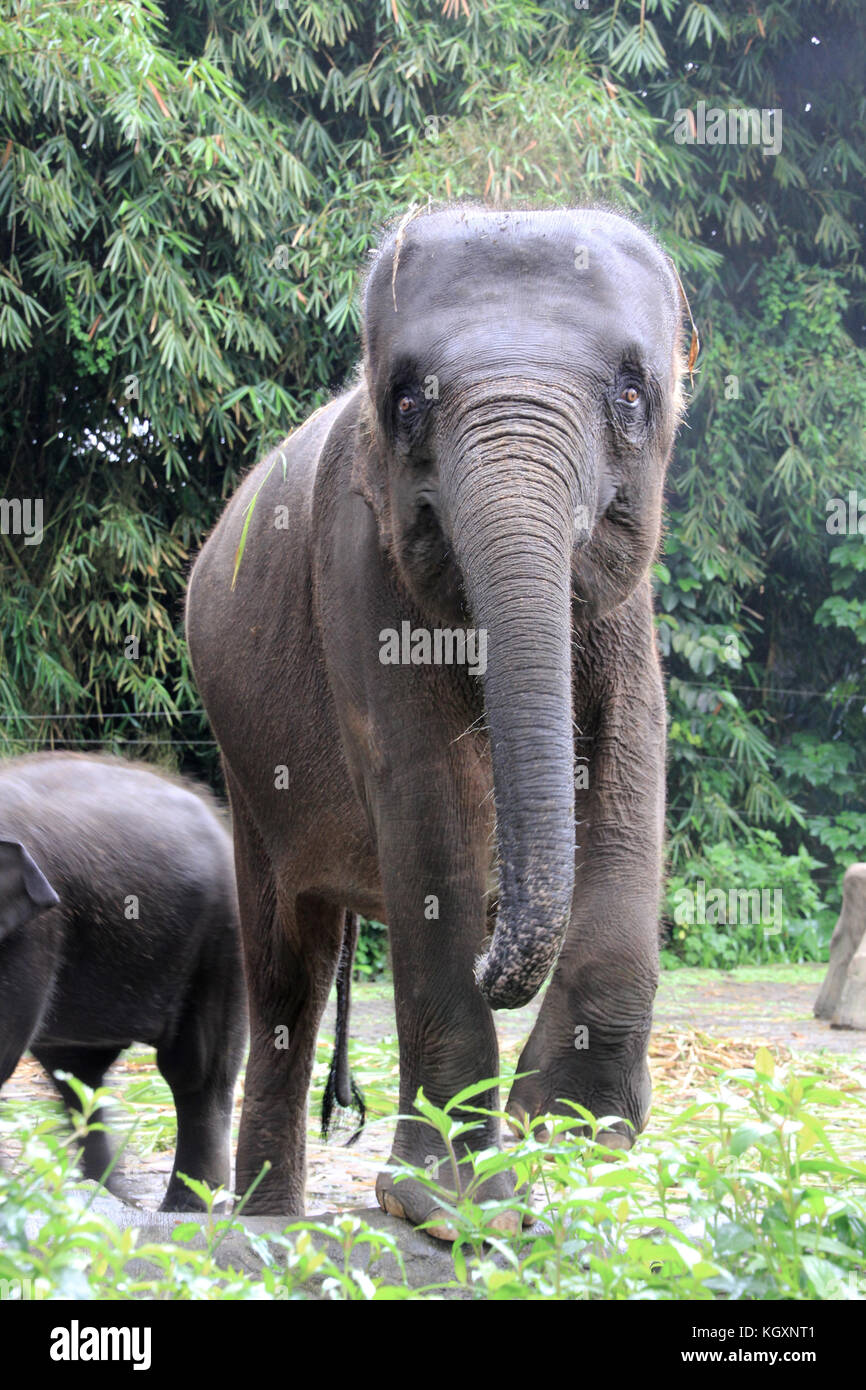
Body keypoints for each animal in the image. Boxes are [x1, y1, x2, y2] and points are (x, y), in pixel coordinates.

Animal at [0, 753, 248, 1211]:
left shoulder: (33, 931)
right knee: (76, 1073)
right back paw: (105, 1198)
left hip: (224, 933)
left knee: (196, 1072)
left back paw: (185, 1210)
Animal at [185, 204, 687, 1235]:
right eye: (410, 401)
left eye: (630, 393)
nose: (501, 948)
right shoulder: (358, 567)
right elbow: (427, 802)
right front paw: (447, 1206)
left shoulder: (630, 608)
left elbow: (629, 768)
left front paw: (577, 1141)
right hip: (247, 770)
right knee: (288, 969)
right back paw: (267, 1226)